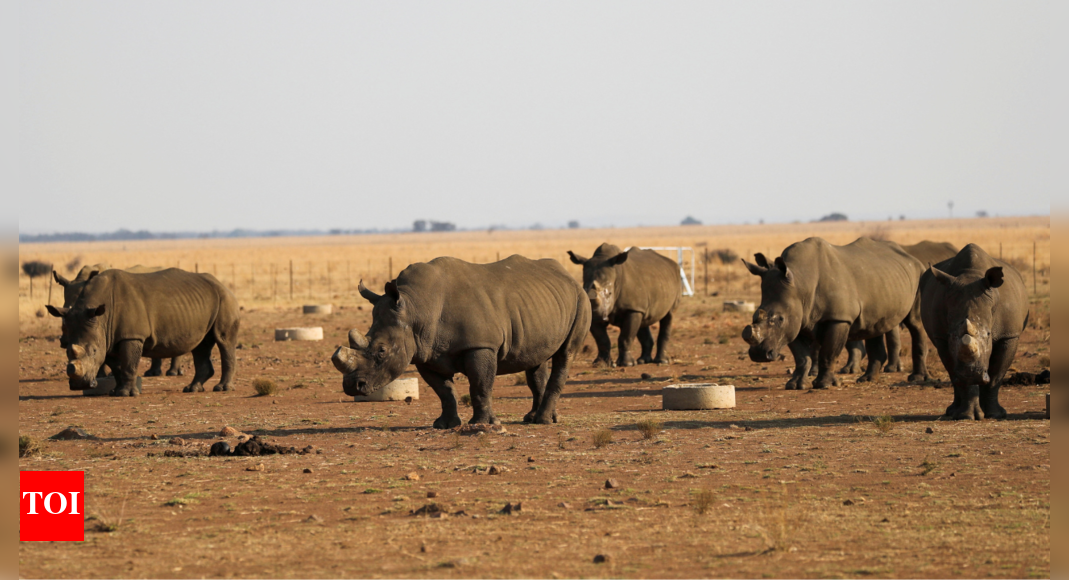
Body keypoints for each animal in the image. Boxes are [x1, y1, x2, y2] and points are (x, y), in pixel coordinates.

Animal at [331, 256, 590, 428]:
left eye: (382, 351)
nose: (352, 386)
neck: (416, 307)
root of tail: (568, 276)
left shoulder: (480, 345)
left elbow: (480, 385)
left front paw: (481, 425)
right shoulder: (425, 352)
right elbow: (444, 391)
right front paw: (445, 425)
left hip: (581, 299)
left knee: (565, 355)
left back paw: (543, 421)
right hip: (540, 304)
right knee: (535, 361)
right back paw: (536, 418)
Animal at [741, 237, 928, 390]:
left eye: (780, 319)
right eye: (754, 316)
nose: (759, 355)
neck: (801, 284)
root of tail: (912, 258)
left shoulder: (838, 318)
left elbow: (829, 353)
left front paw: (824, 384)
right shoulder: (795, 321)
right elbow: (801, 357)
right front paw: (795, 385)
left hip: (920, 274)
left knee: (915, 323)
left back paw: (916, 379)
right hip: (885, 279)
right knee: (874, 325)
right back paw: (867, 379)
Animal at [920, 244, 1028, 420]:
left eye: (989, 335)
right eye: (951, 336)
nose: (971, 373)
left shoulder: (1009, 335)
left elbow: (996, 376)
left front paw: (996, 415)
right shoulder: (941, 337)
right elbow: (956, 374)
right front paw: (967, 416)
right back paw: (952, 412)